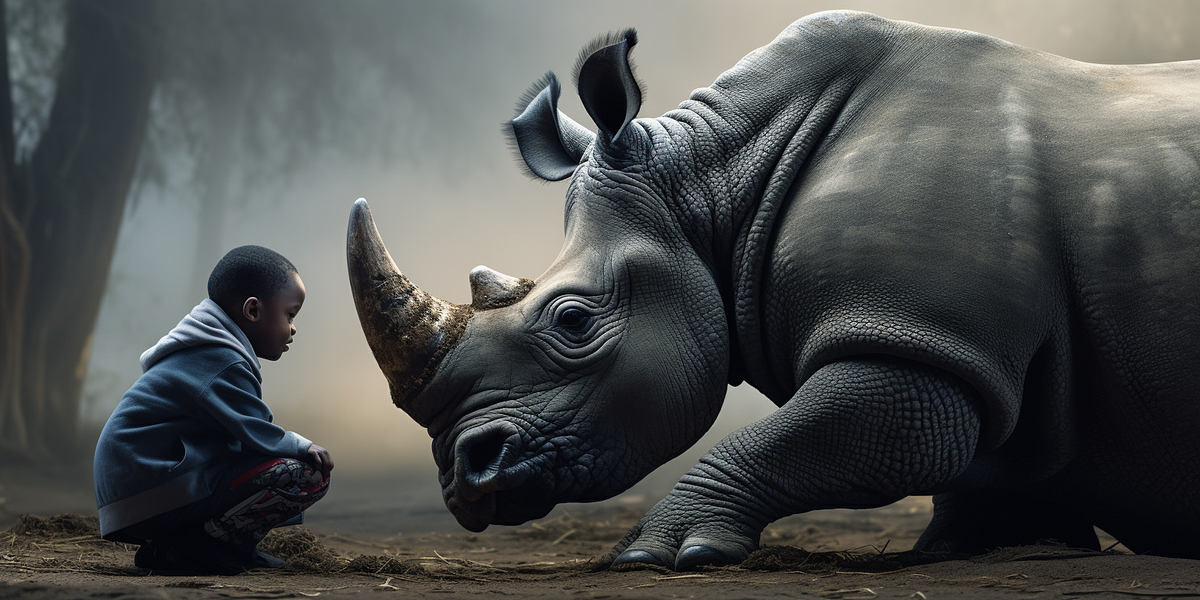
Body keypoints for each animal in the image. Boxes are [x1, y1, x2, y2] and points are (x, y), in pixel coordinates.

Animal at [347, 11, 1200, 570]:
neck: (716, 186)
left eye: (573, 319)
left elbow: (812, 438)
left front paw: (658, 554)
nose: (464, 477)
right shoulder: (954, 346)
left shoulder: (918, 340)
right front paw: (972, 547)